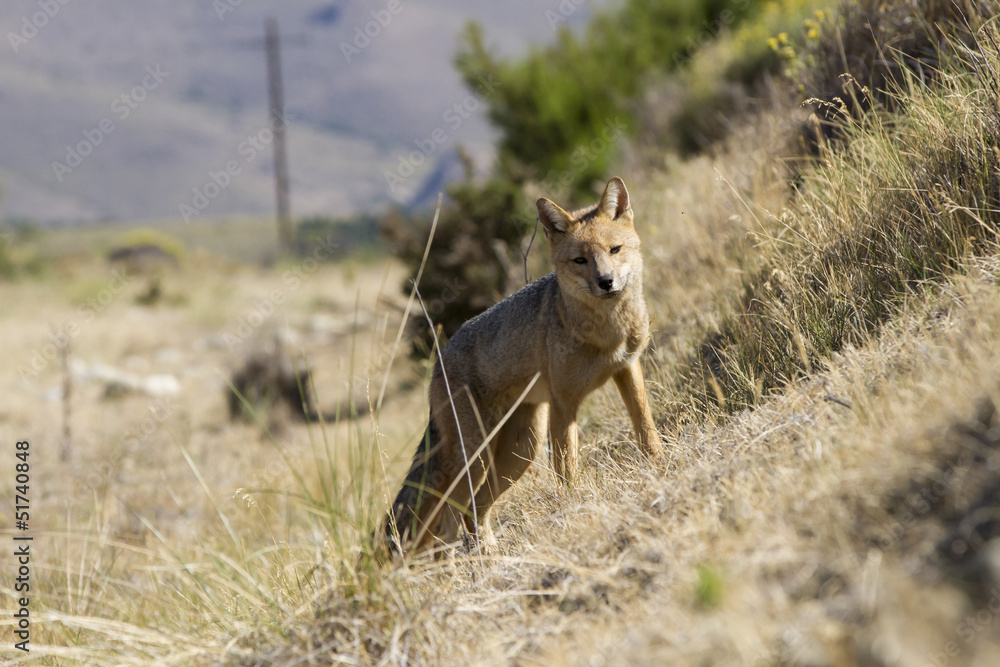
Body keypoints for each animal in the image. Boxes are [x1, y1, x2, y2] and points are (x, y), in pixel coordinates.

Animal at [380, 176, 662, 556]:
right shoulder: (563, 404)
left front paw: (661, 466)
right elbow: (567, 471)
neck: (606, 334)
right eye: (580, 260)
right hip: (476, 457)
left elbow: (646, 429)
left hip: (518, 453)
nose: (606, 282)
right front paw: (577, 507)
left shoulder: (627, 369)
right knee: (449, 520)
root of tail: (439, 360)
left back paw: (489, 552)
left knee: (472, 509)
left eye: (614, 250)